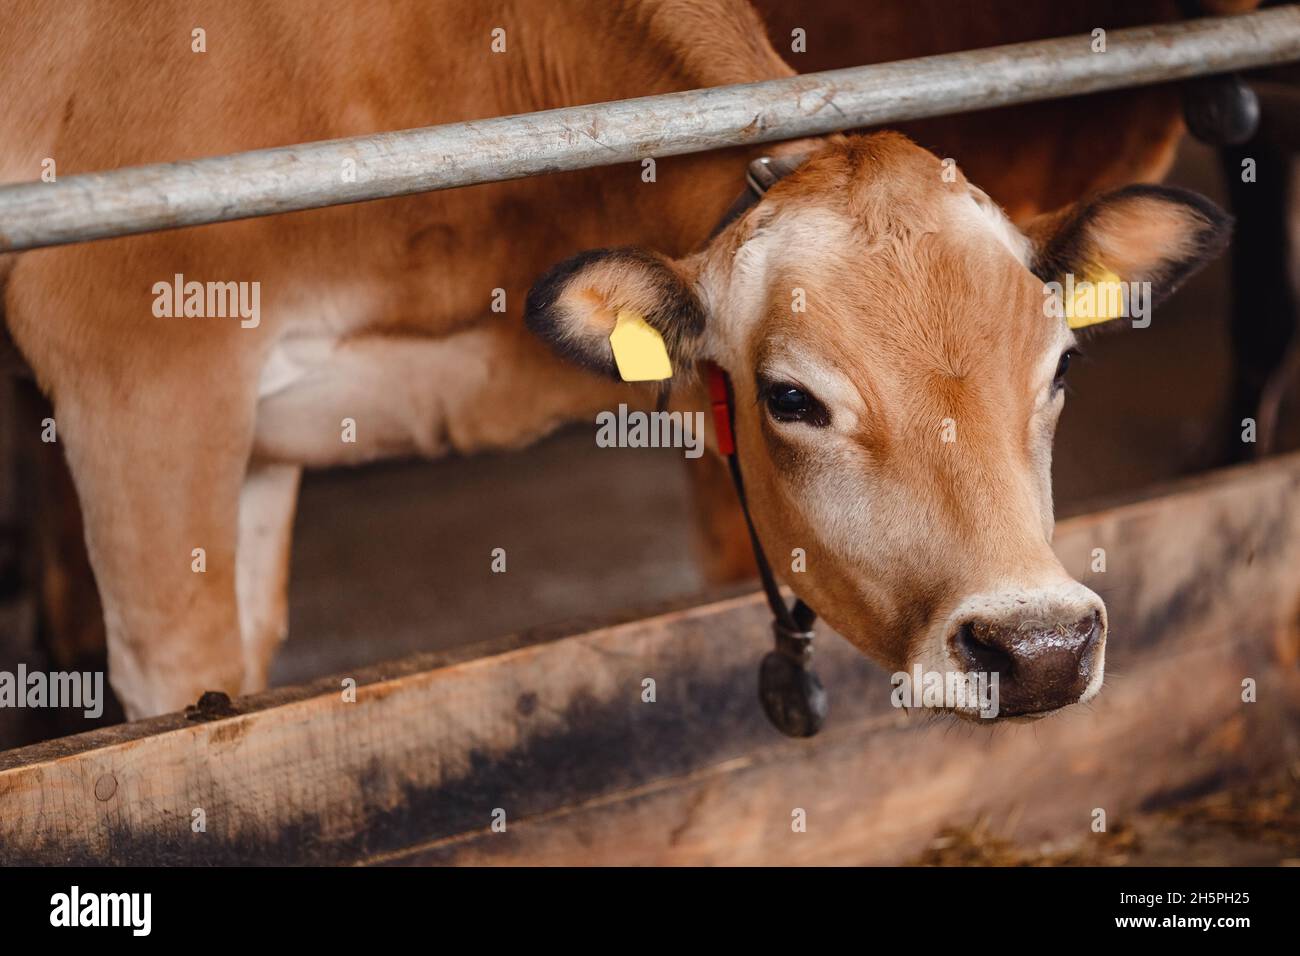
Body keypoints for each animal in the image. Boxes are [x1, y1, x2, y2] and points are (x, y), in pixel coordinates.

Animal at [0, 0, 1230, 720]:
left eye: (1060, 369)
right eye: (792, 397)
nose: (1040, 646)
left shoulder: (260, 438)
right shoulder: (147, 386)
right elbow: (179, 698)